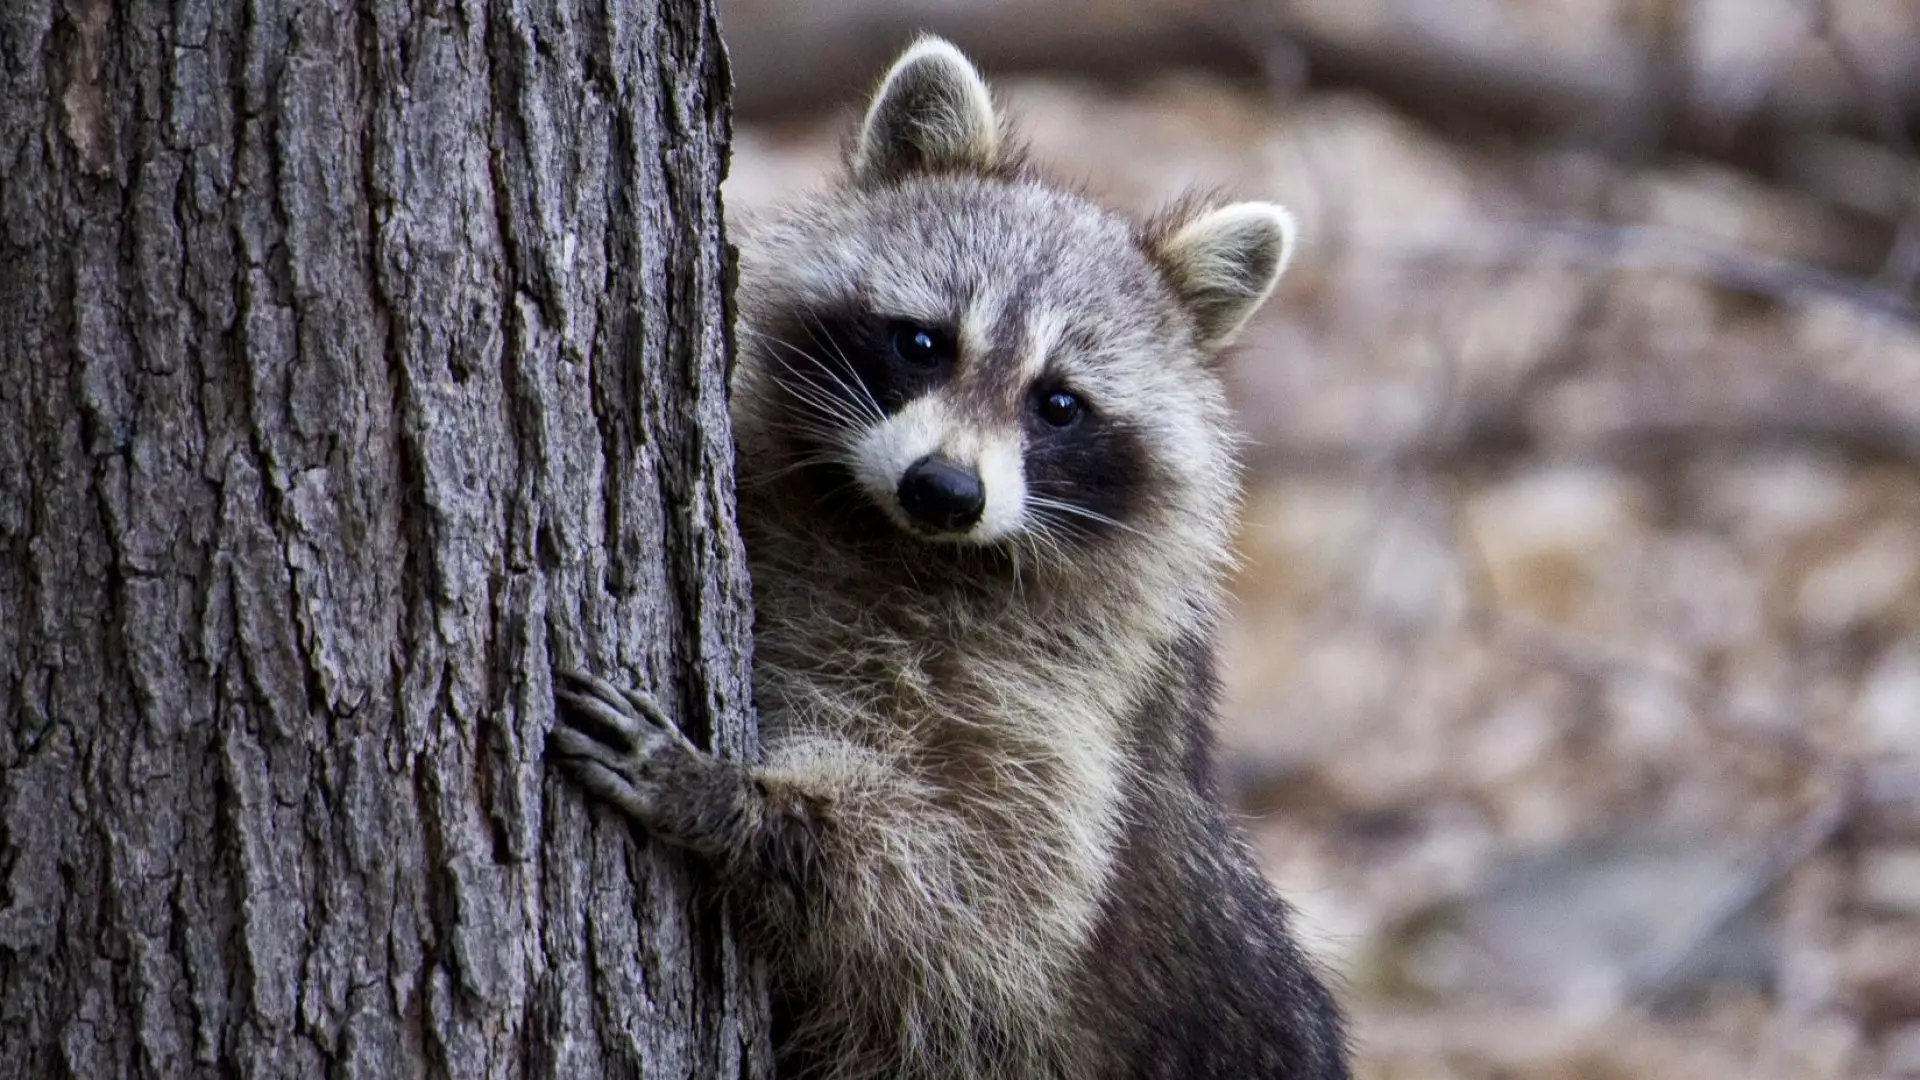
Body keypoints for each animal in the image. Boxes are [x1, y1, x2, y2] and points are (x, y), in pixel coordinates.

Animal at [545, 33, 1351, 1076]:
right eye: (923, 343)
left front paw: (748, 811)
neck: (889, 540)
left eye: (1059, 404)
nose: (945, 489)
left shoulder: (1066, 714)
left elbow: (972, 886)